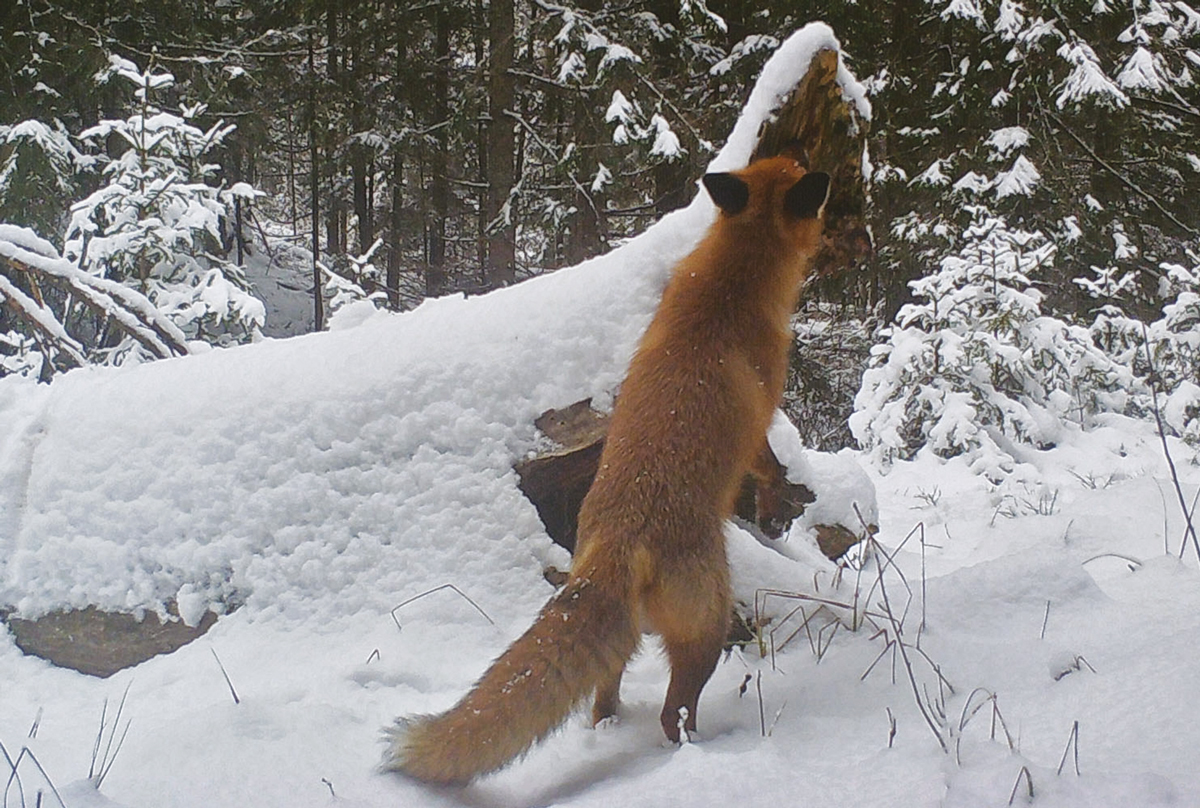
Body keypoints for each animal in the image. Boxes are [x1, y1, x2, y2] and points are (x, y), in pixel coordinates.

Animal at [383, 155, 831, 785]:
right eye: (801, 171)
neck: (730, 280)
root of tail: (621, 537)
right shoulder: (761, 416)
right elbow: (766, 467)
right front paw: (774, 500)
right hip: (708, 628)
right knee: (674, 712)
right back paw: (702, 754)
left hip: (626, 640)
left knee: (600, 699)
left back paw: (611, 730)